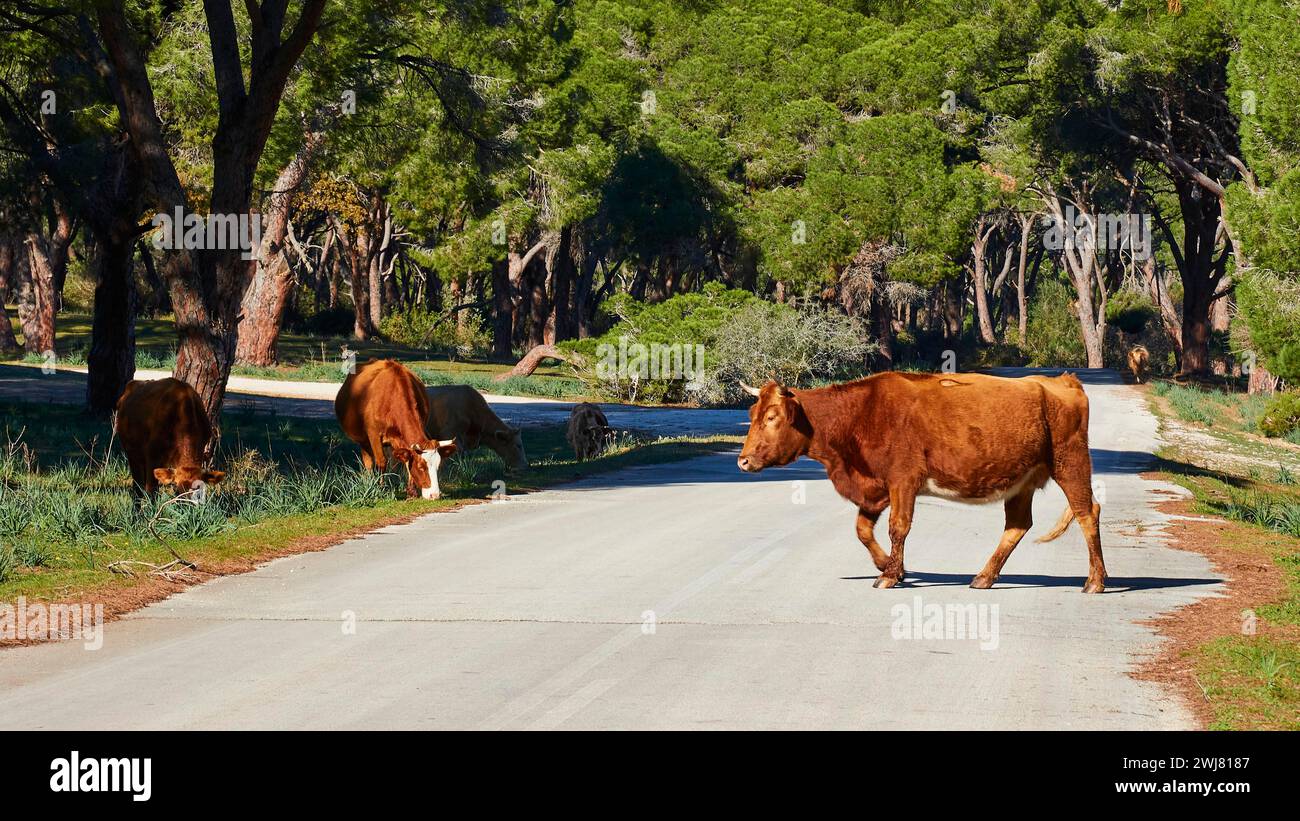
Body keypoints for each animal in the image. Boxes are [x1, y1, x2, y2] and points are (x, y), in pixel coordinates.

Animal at [335, 359, 457, 499]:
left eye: (438, 466)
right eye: (421, 467)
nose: (435, 495)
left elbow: (407, 461)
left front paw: (411, 492)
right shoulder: (374, 434)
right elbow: (382, 461)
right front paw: (380, 489)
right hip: (363, 440)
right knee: (368, 461)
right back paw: (369, 482)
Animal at [737, 372, 1106, 593]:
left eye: (772, 417)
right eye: (752, 415)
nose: (743, 460)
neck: (863, 413)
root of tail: (1061, 380)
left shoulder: (903, 480)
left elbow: (898, 528)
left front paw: (889, 575)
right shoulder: (875, 488)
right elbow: (862, 530)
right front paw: (890, 567)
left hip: (1070, 463)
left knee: (1087, 513)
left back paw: (1095, 581)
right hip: (1022, 481)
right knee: (1017, 525)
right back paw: (983, 577)